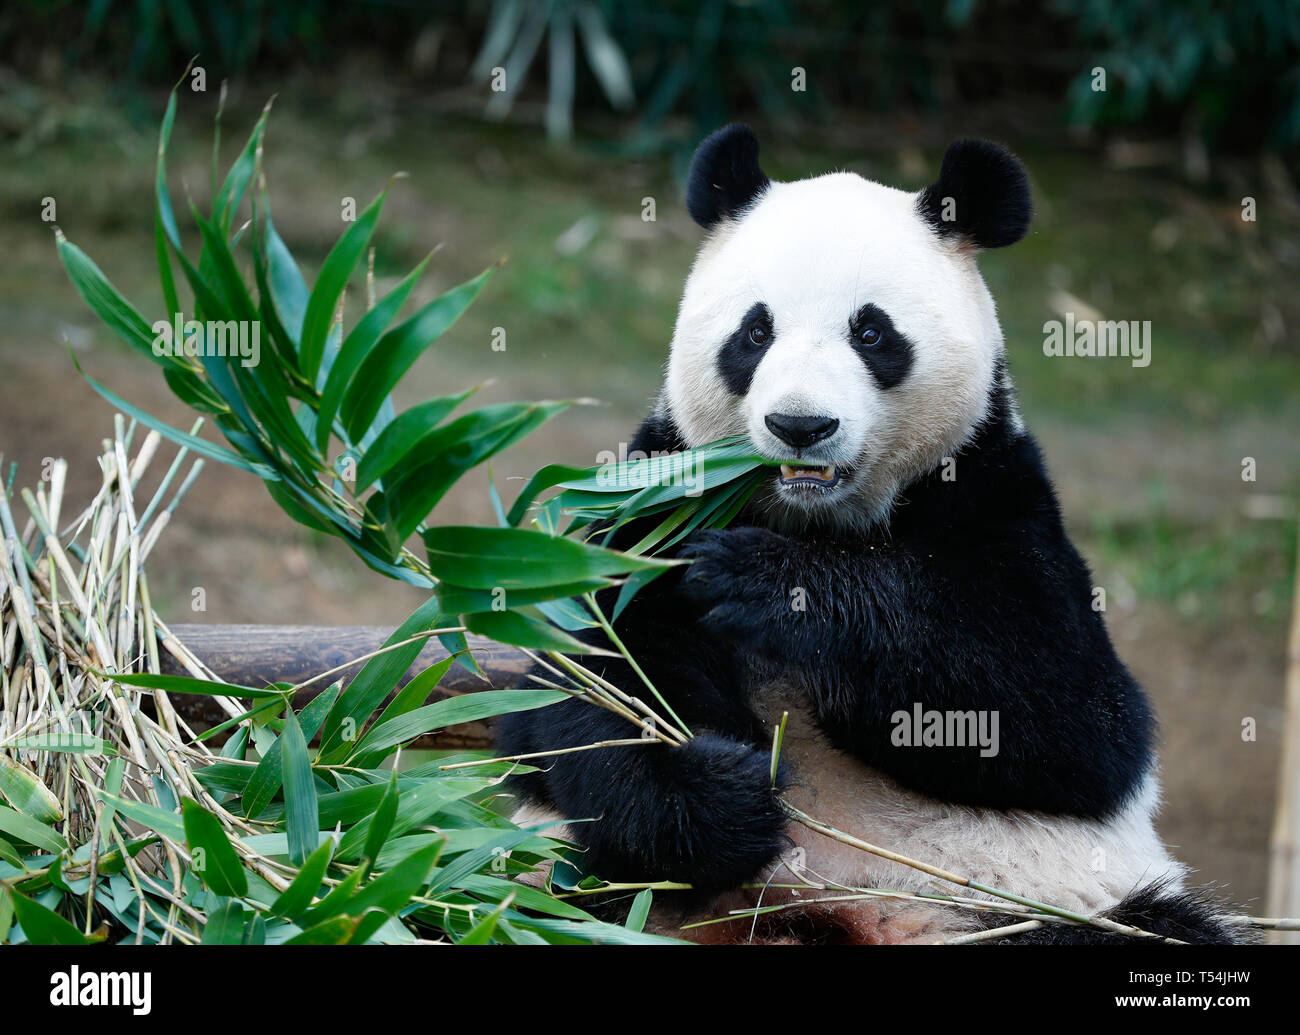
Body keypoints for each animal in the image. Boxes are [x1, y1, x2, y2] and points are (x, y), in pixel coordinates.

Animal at [498, 124, 1245, 945]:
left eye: (871, 331)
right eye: (754, 332)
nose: (800, 425)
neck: (813, 517)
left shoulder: (994, 490)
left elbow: (1061, 712)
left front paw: (766, 584)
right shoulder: (653, 504)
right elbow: (590, 684)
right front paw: (724, 793)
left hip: (1025, 902)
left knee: (1154, 926)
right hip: (553, 889)